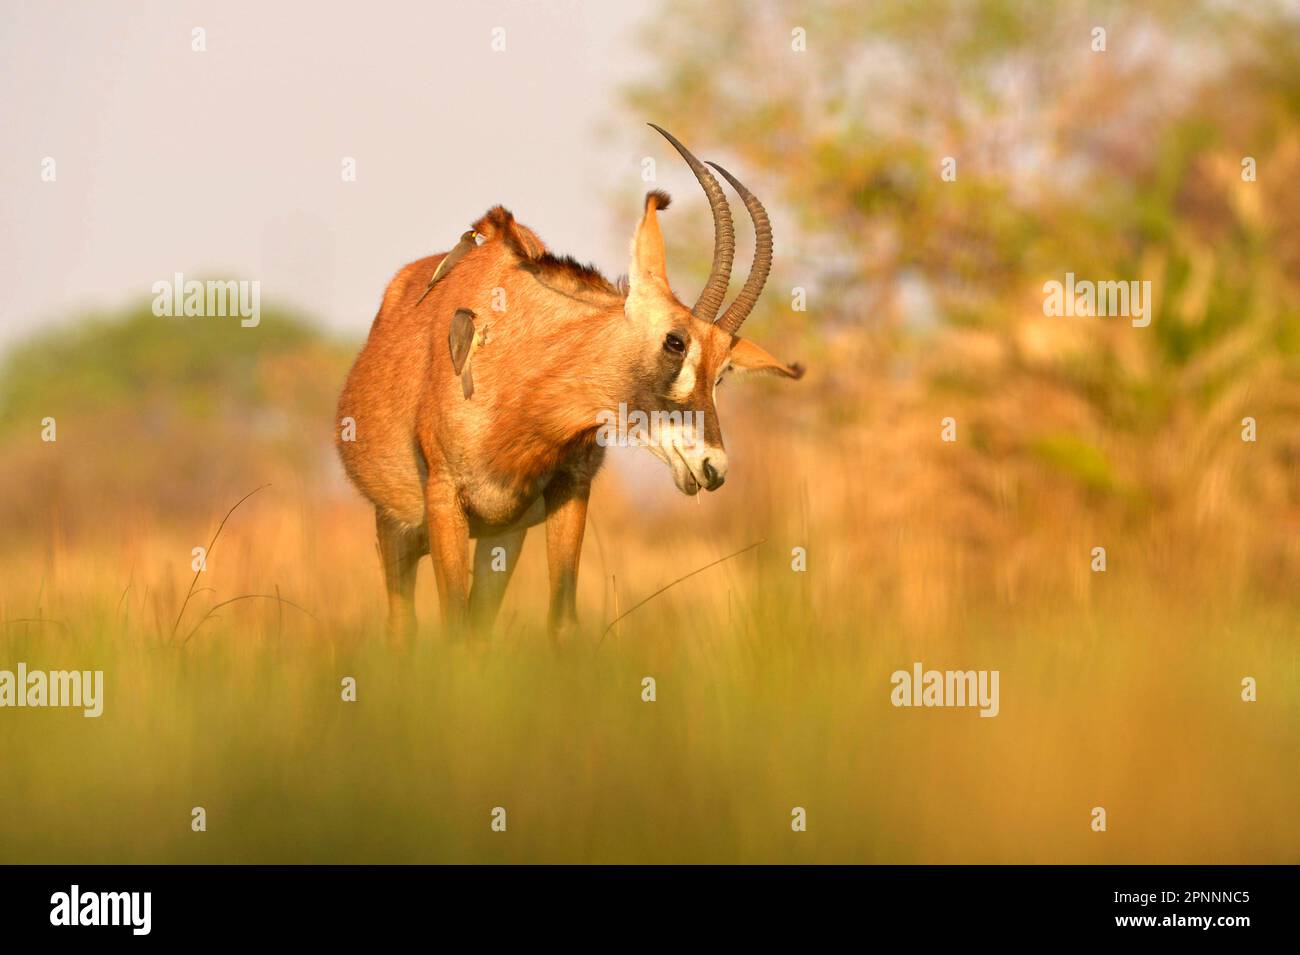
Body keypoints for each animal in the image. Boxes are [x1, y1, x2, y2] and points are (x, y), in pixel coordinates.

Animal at [336, 125, 804, 638]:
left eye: (722, 373)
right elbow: (453, 626)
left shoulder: (569, 490)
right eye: (675, 341)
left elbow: (560, 620)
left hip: (500, 540)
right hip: (396, 530)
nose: (713, 468)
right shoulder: (443, 500)